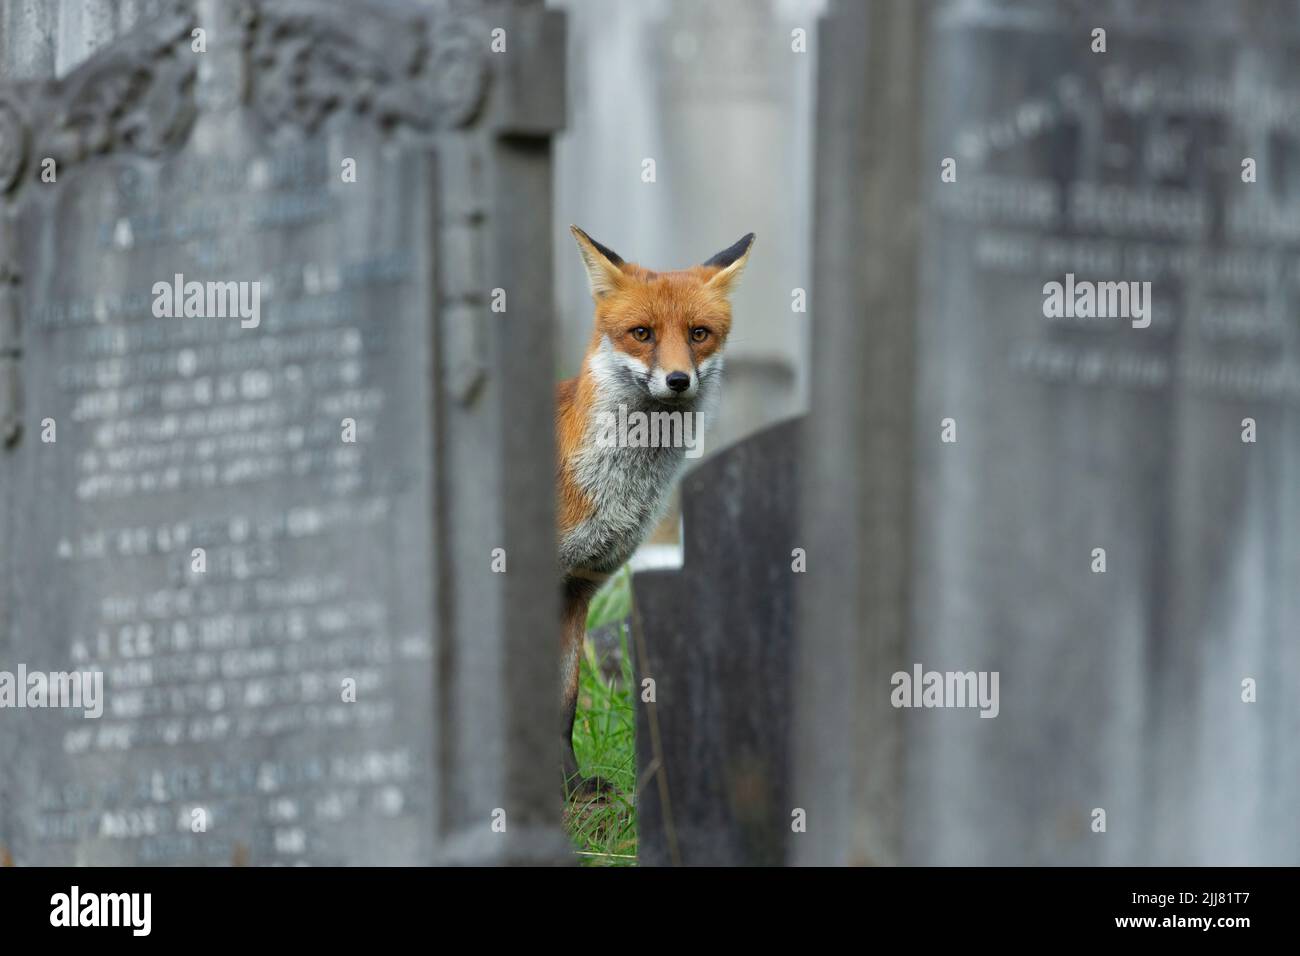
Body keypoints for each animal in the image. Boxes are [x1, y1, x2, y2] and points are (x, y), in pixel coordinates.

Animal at [556, 225, 755, 795]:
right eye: (641, 333)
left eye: (699, 334)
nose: (678, 380)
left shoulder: (580, 586)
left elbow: (564, 704)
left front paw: (572, 789)